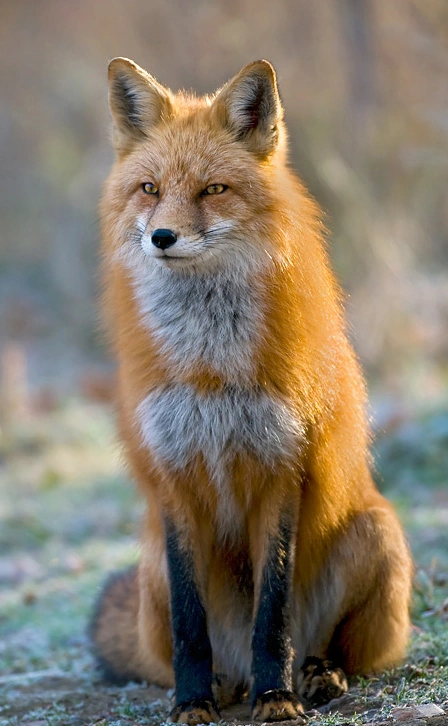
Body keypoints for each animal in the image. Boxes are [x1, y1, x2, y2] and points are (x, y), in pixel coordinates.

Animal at [89, 58, 412, 725]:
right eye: (149, 189)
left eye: (213, 190)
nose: (162, 237)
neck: (211, 370)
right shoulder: (174, 477)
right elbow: (190, 624)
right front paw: (192, 702)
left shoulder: (281, 466)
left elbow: (274, 615)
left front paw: (277, 697)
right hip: (151, 565)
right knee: (198, 647)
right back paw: (224, 684)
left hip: (376, 533)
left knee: (329, 644)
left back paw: (316, 674)